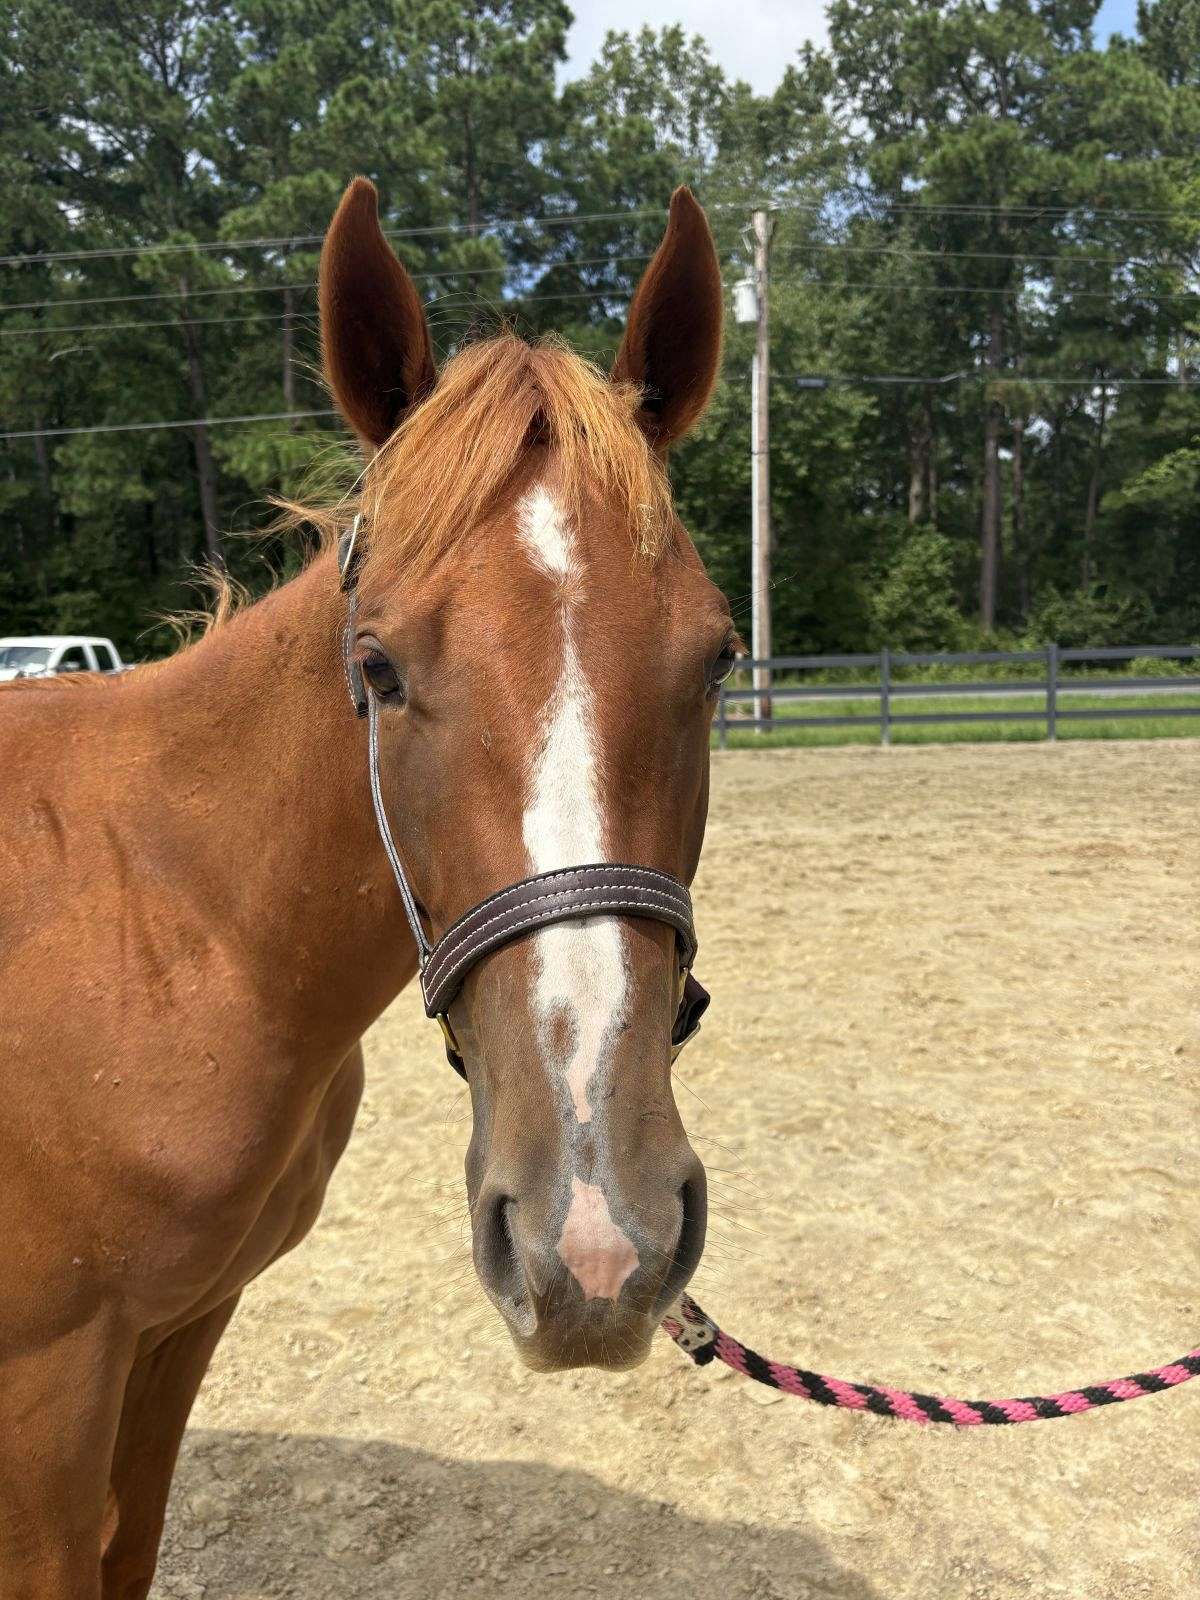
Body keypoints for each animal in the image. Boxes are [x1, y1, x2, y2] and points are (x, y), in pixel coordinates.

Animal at [0, 177, 732, 1597]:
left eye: (720, 658)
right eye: (380, 668)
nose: (595, 1242)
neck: (165, 918)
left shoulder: (174, 1331)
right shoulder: (44, 1391)